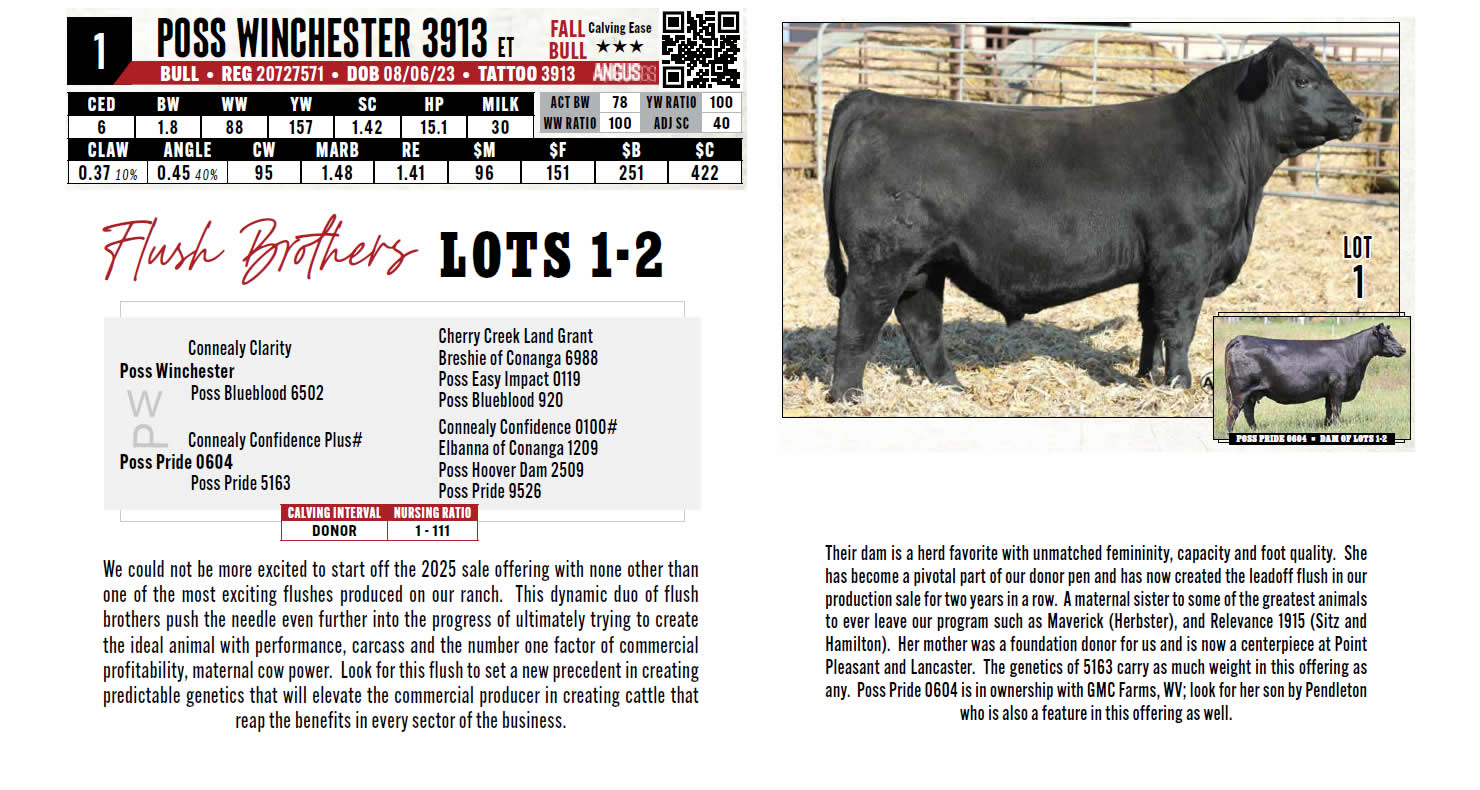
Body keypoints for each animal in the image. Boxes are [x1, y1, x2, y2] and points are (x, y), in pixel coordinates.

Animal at [821, 38, 1365, 403]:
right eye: (1303, 80)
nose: (1358, 116)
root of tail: (872, 99)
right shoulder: (1185, 257)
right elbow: (1178, 323)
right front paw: (1179, 384)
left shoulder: (1154, 264)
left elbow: (1150, 320)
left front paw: (1147, 376)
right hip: (883, 259)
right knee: (859, 318)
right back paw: (848, 396)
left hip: (924, 264)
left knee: (920, 320)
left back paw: (951, 387)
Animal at [1224, 323, 1406, 432]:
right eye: (1386, 336)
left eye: (1391, 334)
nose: (1403, 349)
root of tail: (1240, 338)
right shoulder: (1338, 387)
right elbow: (1336, 410)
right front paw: (1337, 428)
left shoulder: (1328, 392)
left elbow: (1328, 412)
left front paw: (1328, 428)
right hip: (1240, 391)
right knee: (1233, 414)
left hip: (1251, 393)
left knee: (1248, 412)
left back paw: (1256, 431)